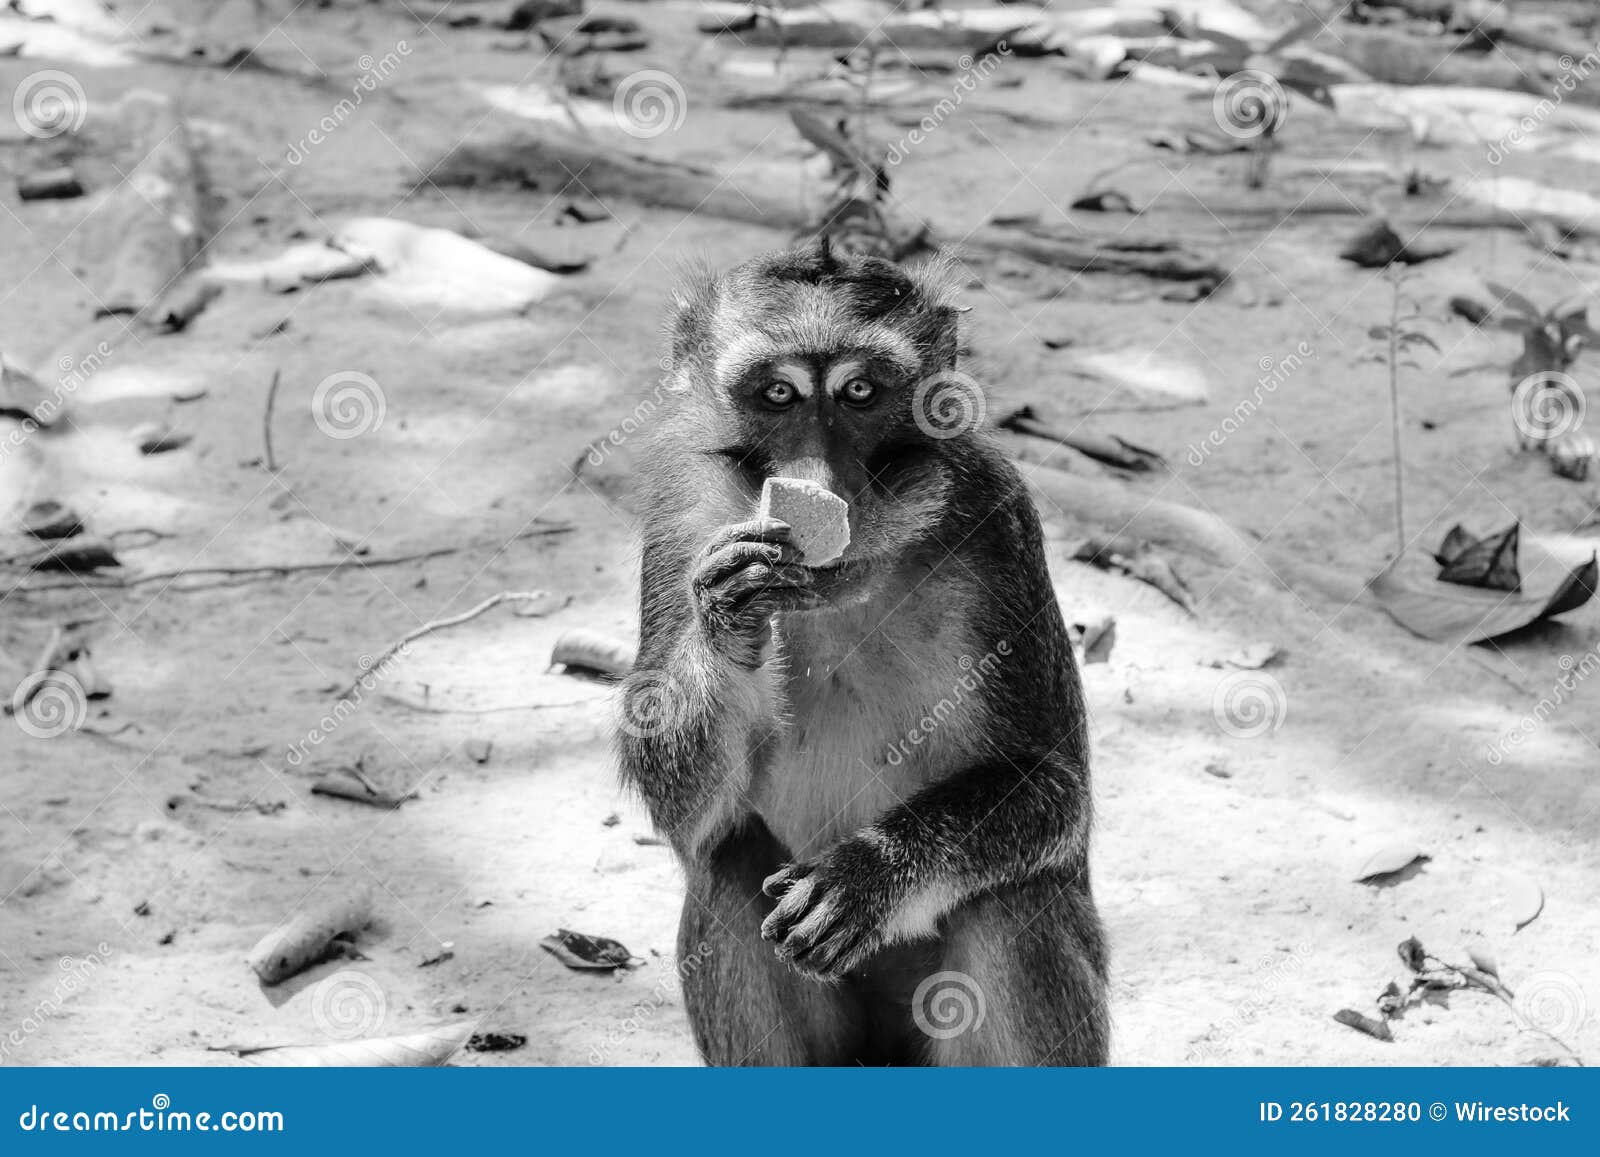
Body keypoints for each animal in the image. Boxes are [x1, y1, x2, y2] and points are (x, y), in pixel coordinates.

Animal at [615, 241, 1108, 1067]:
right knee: (726, 863)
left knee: (1013, 895)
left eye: (860, 392)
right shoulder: (681, 514)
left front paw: (872, 873)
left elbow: (1052, 784)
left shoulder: (996, 516)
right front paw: (725, 617)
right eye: (778, 393)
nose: (818, 478)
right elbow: (680, 812)